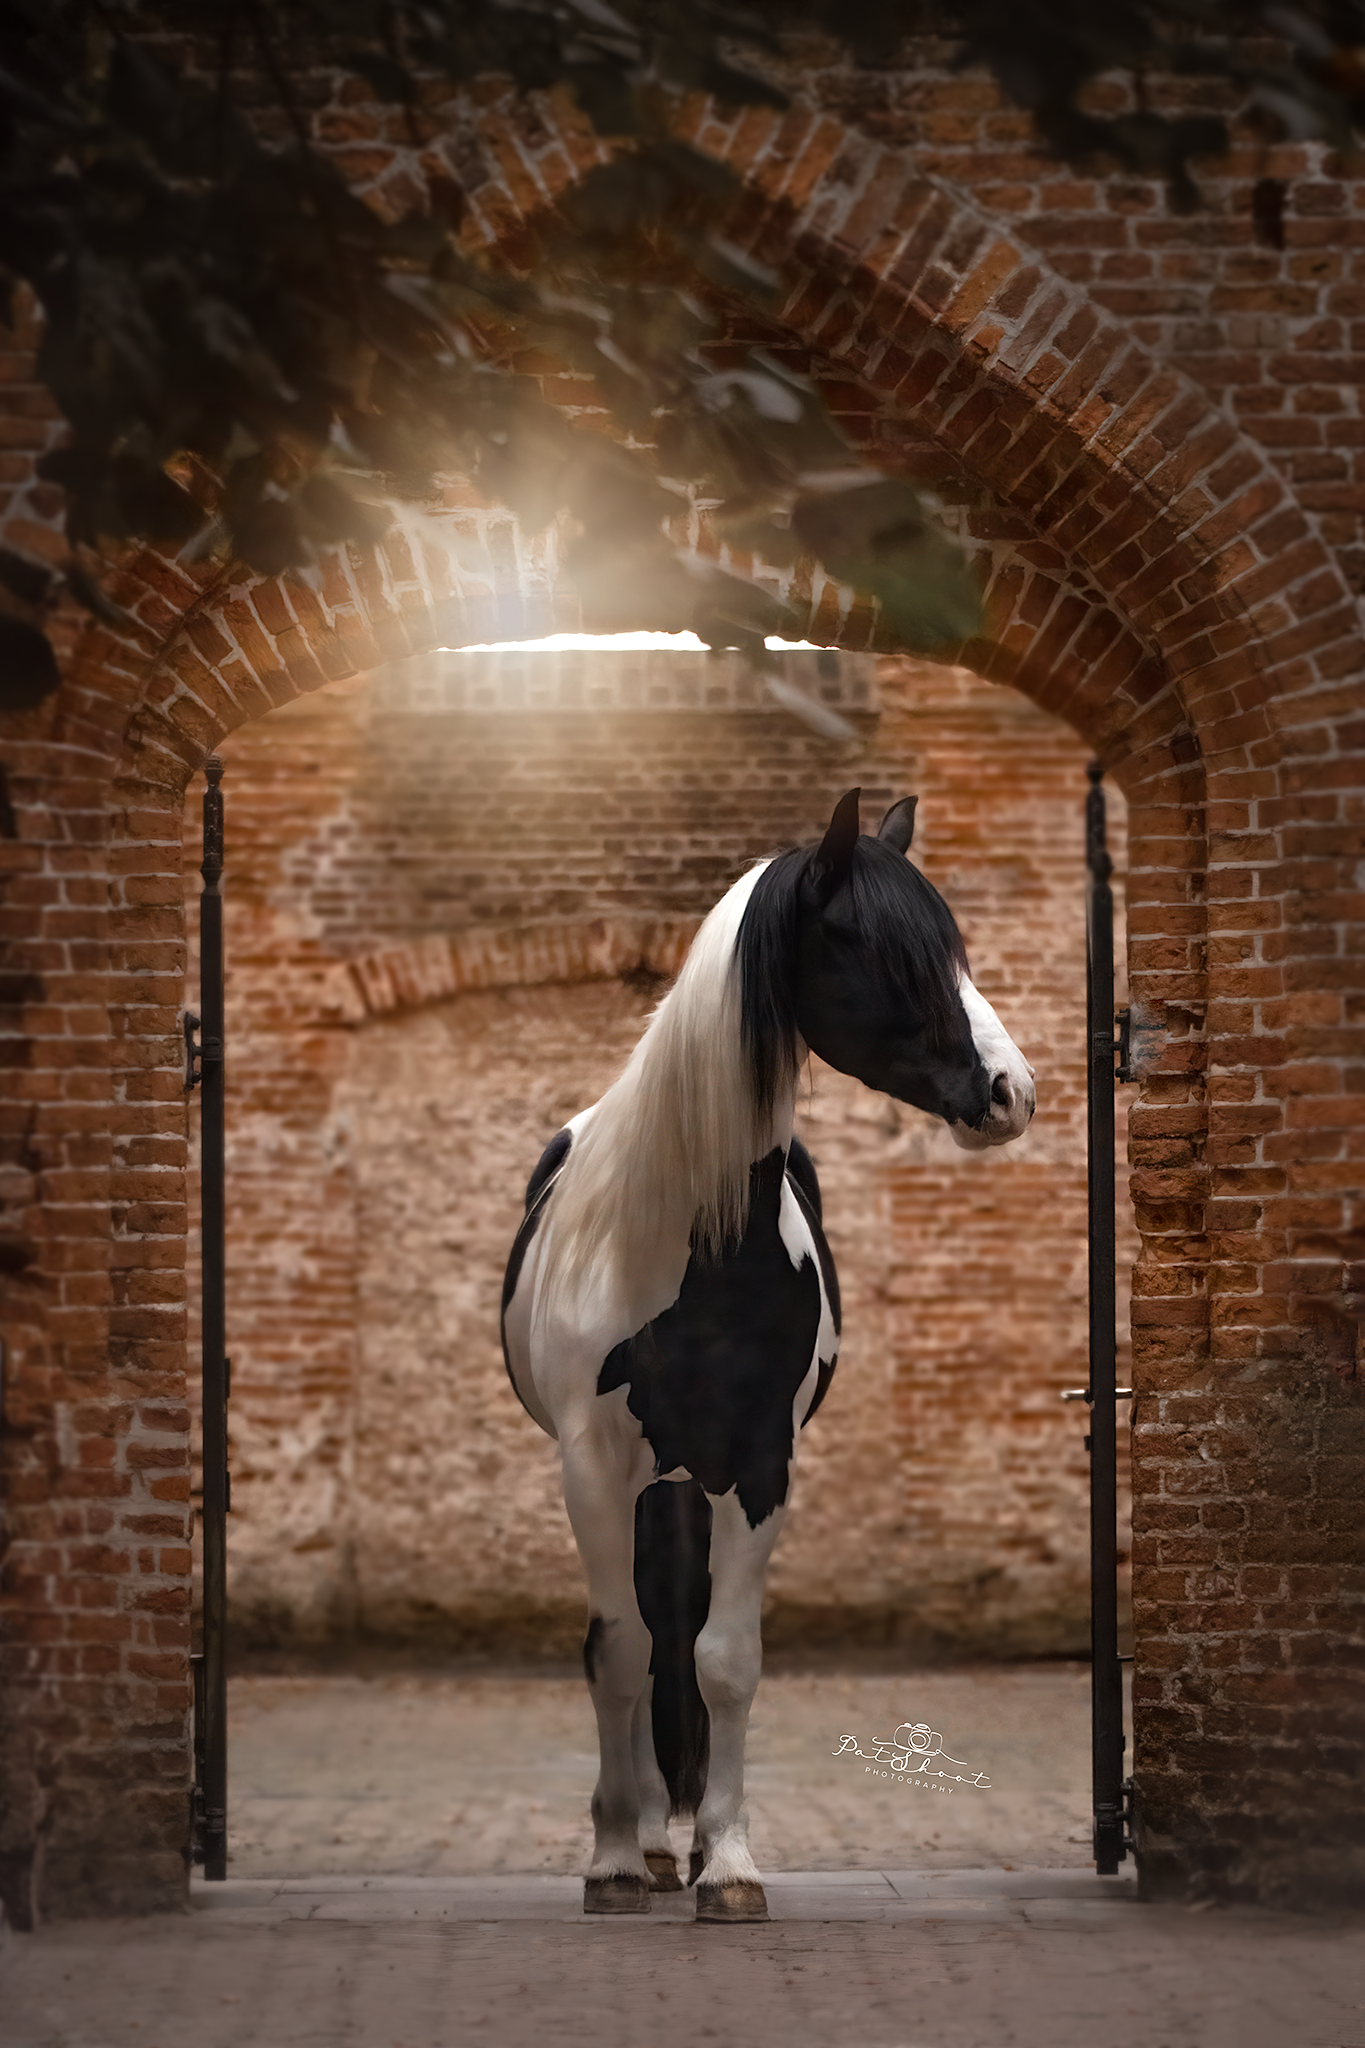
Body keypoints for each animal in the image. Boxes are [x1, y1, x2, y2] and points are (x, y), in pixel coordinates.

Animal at [500, 788, 1035, 1923]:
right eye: (880, 947)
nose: (1013, 1091)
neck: (689, 1247)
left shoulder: (757, 1466)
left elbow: (726, 1659)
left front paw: (729, 1862)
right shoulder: (592, 1467)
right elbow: (618, 1648)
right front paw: (614, 1858)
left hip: (688, 1482)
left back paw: (683, 1846)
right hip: (646, 1481)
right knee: (640, 1638)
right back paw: (646, 1844)